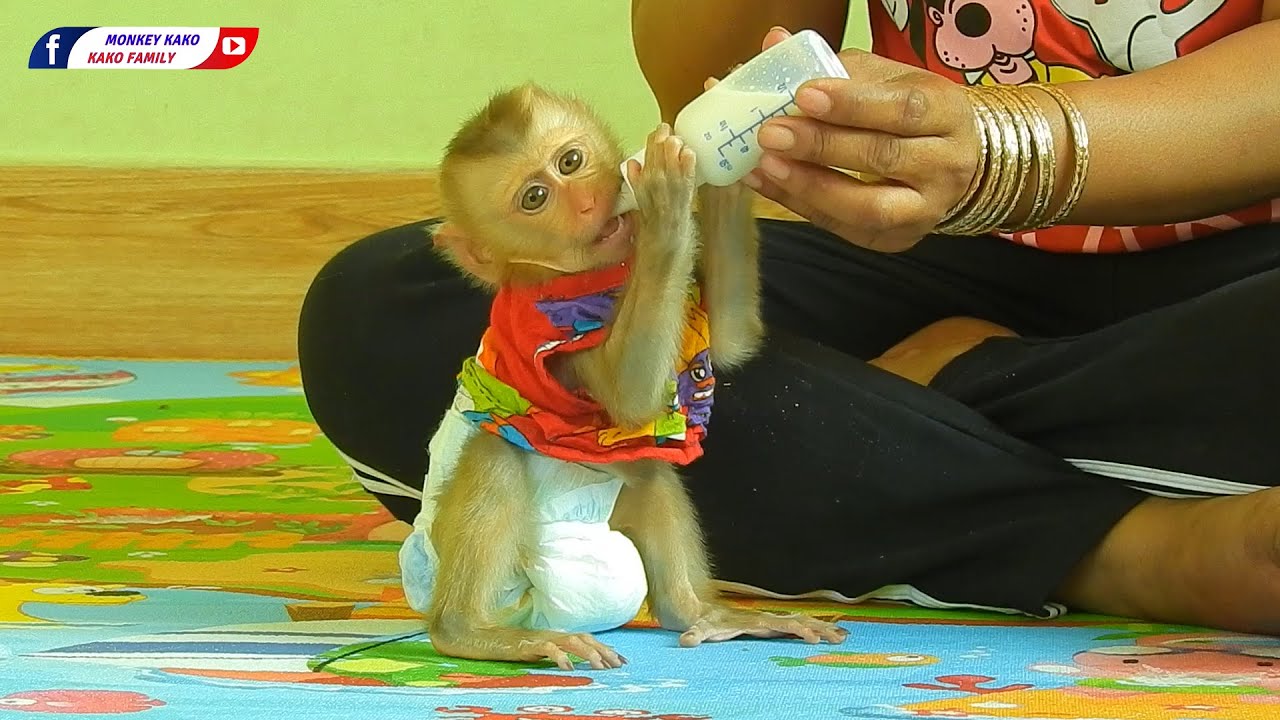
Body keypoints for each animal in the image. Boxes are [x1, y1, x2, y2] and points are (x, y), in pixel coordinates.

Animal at [405, 83, 848, 671]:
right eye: (535, 198)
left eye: (571, 162)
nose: (589, 202)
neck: (594, 275)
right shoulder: (553, 329)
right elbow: (630, 399)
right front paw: (665, 200)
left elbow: (730, 338)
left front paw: (728, 157)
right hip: (480, 576)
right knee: (499, 449)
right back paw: (470, 632)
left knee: (647, 467)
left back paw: (703, 614)